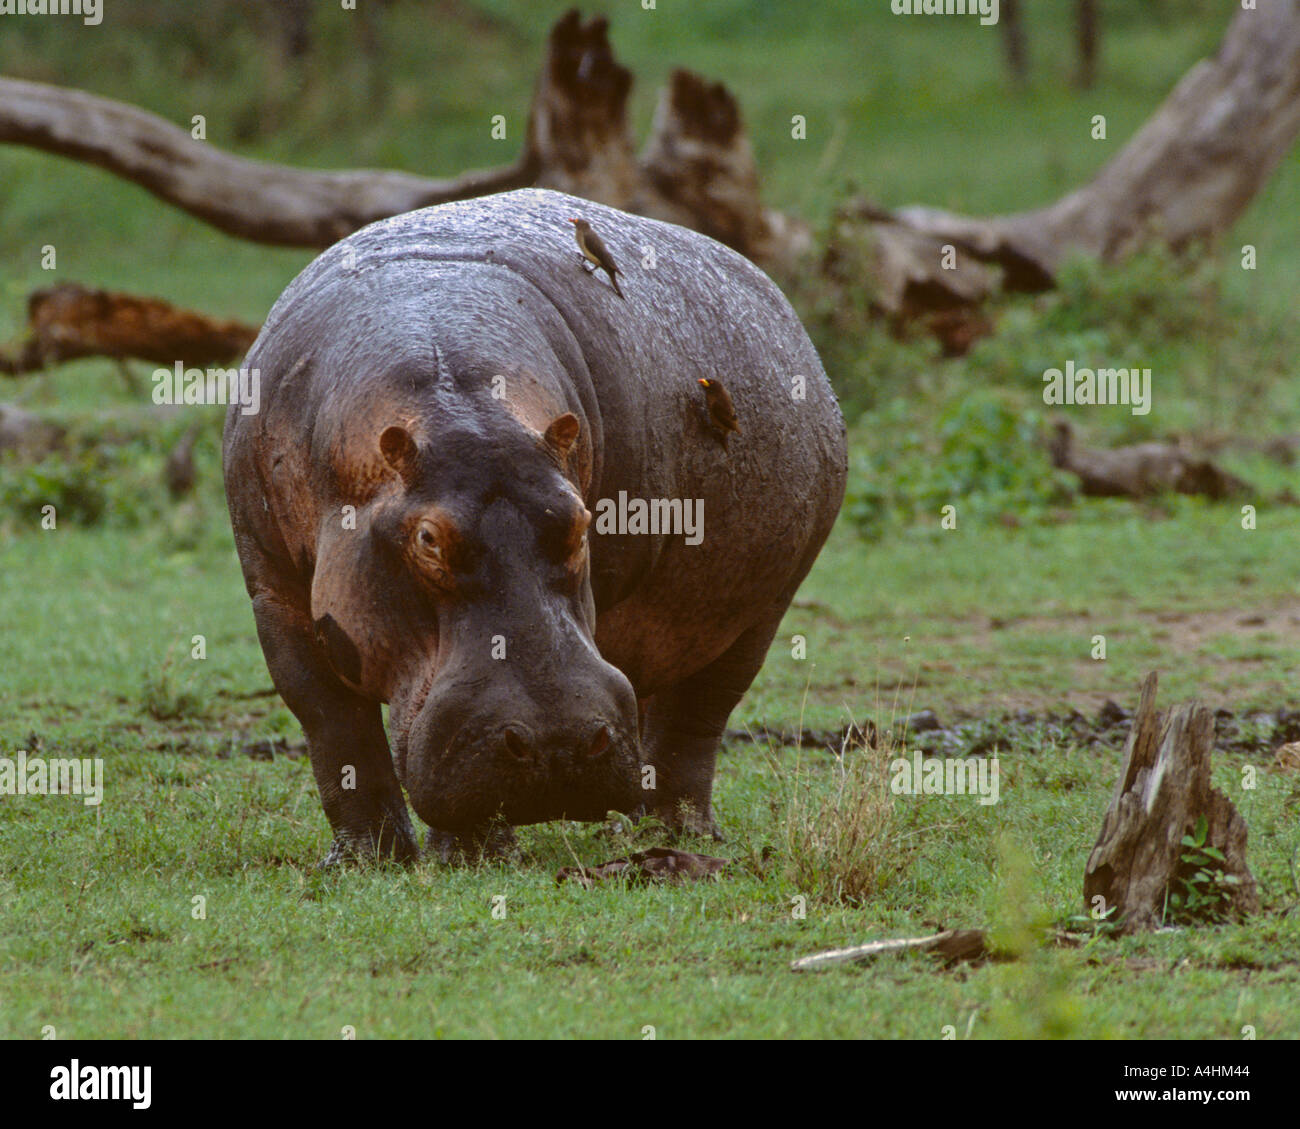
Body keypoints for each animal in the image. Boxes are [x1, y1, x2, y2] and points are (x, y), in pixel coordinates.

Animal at [223, 187, 846, 864]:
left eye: (581, 521)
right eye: (428, 540)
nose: (558, 748)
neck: (456, 398)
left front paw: (471, 856)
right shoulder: (272, 590)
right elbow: (331, 722)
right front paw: (365, 860)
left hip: (760, 611)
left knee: (698, 714)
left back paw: (676, 834)